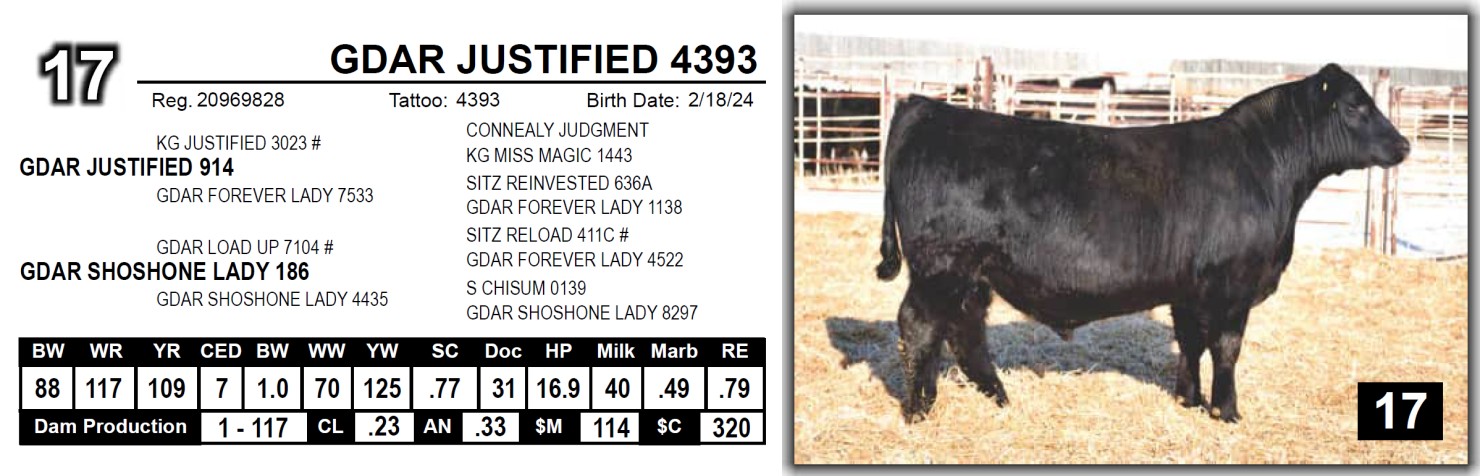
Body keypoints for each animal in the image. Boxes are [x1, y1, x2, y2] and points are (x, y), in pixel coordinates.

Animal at [875, 64, 1409, 423]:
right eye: (1356, 105)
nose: (1403, 145)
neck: (1268, 167)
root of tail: (924, 107)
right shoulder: (1233, 286)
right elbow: (1226, 348)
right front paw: (1228, 411)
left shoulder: (1189, 289)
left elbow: (1190, 343)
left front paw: (1189, 400)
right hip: (942, 267)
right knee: (921, 326)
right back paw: (918, 409)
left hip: (972, 274)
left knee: (964, 330)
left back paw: (994, 398)